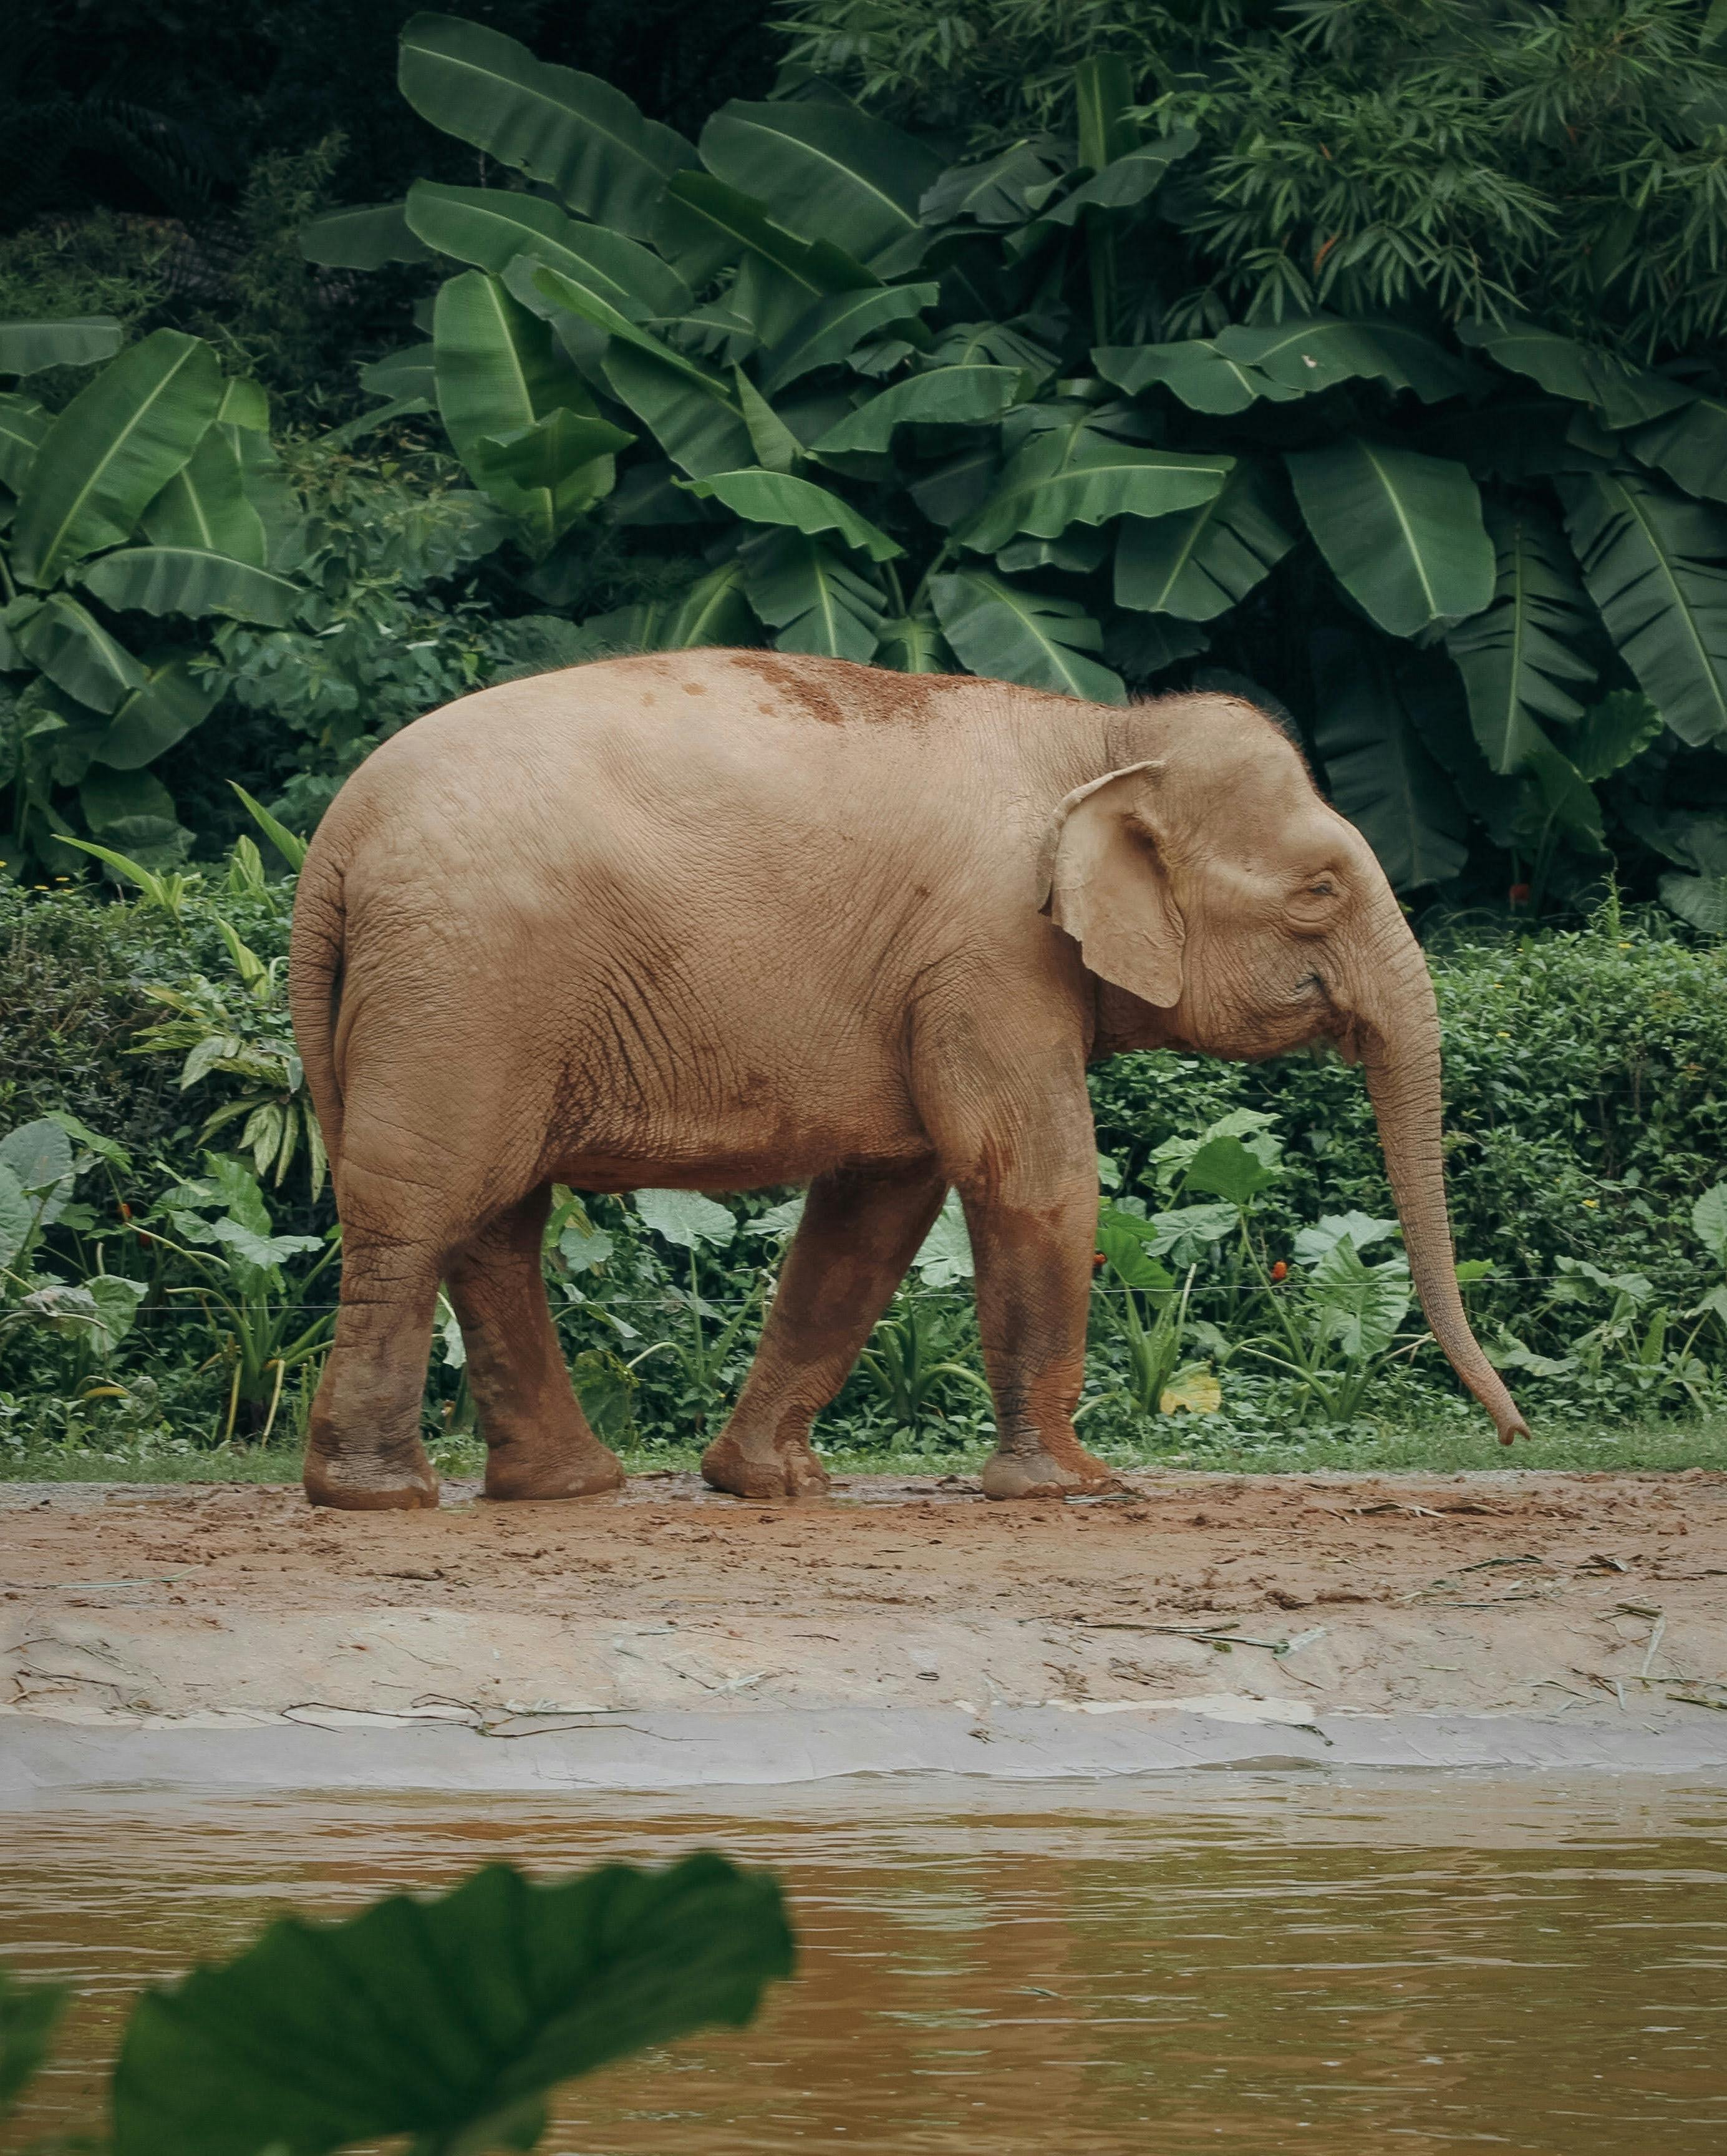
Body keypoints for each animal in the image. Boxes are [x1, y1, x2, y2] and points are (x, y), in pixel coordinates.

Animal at [288, 647, 1527, 1511]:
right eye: (1319, 892)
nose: (1512, 1434)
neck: (1101, 737)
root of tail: (332, 841)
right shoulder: (991, 951)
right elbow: (1027, 1172)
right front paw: (1074, 1489)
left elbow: (880, 1205)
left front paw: (773, 1487)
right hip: (465, 983)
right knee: (425, 1205)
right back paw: (380, 1496)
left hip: (469, 998)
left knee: (494, 1218)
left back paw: (564, 1487)